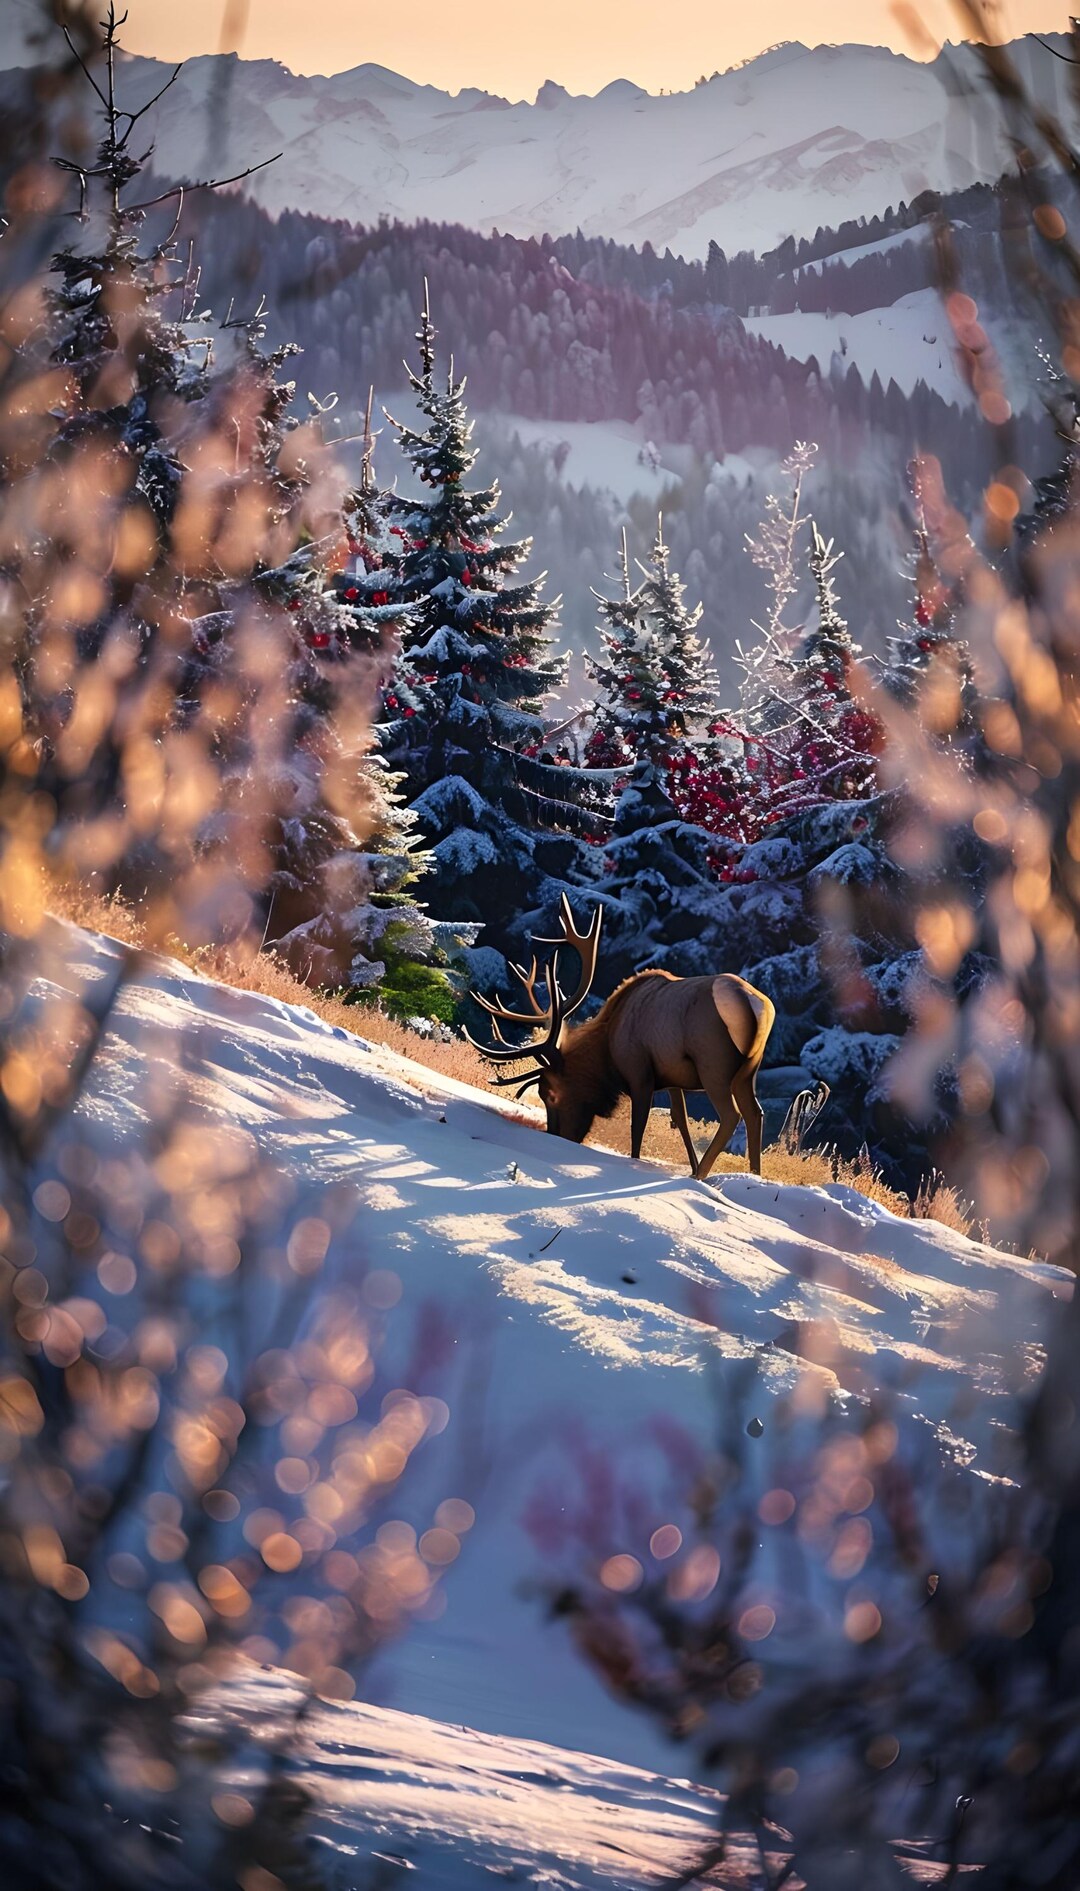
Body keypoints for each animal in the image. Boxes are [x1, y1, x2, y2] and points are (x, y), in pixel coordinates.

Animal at [468, 896, 775, 1178]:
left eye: (550, 1094)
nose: (557, 1135)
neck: (609, 1051)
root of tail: (755, 1005)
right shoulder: (672, 1078)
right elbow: (681, 1121)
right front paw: (690, 1163)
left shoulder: (640, 1071)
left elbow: (637, 1128)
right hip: (748, 1070)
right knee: (755, 1113)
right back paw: (751, 1175)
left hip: (714, 1065)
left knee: (731, 1115)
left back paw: (702, 1175)